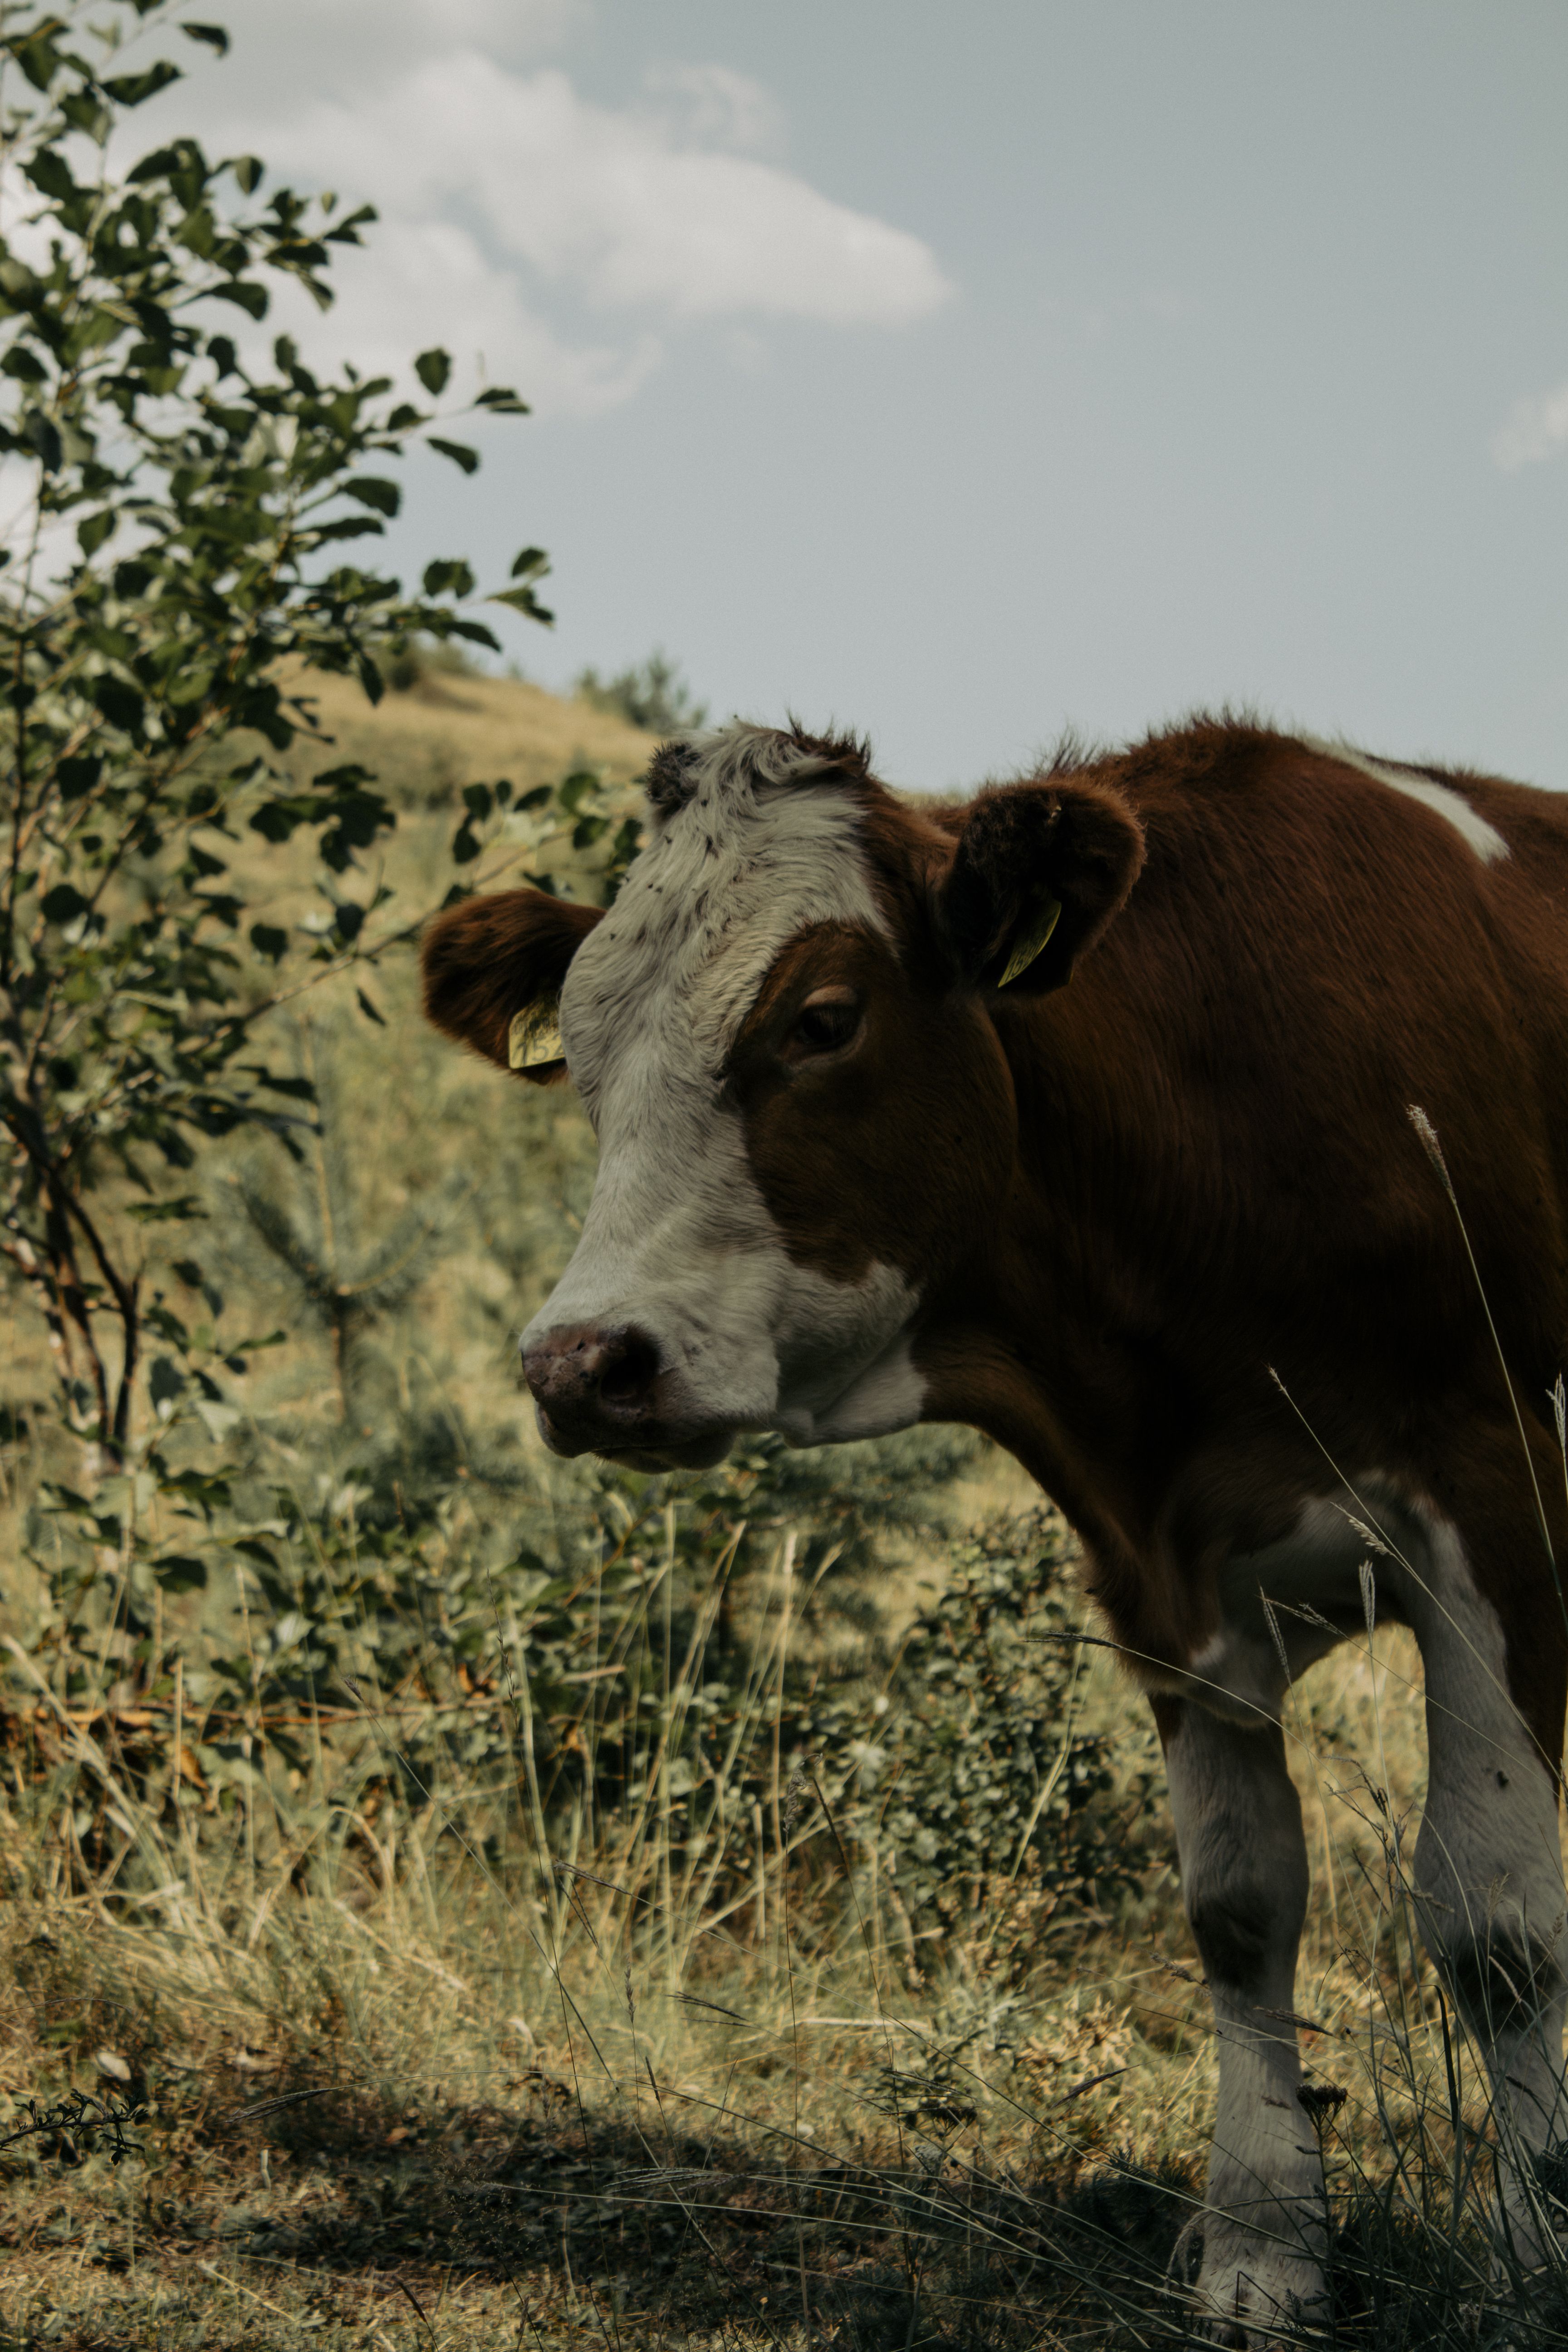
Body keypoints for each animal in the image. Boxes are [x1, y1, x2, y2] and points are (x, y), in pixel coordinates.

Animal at [421, 716, 1568, 2338]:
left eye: (824, 1019)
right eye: (580, 1054)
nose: (583, 1364)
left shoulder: (1495, 1504)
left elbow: (1499, 1921)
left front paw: (1531, 2259)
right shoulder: (1158, 1570)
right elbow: (1240, 1909)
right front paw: (1263, 2247)